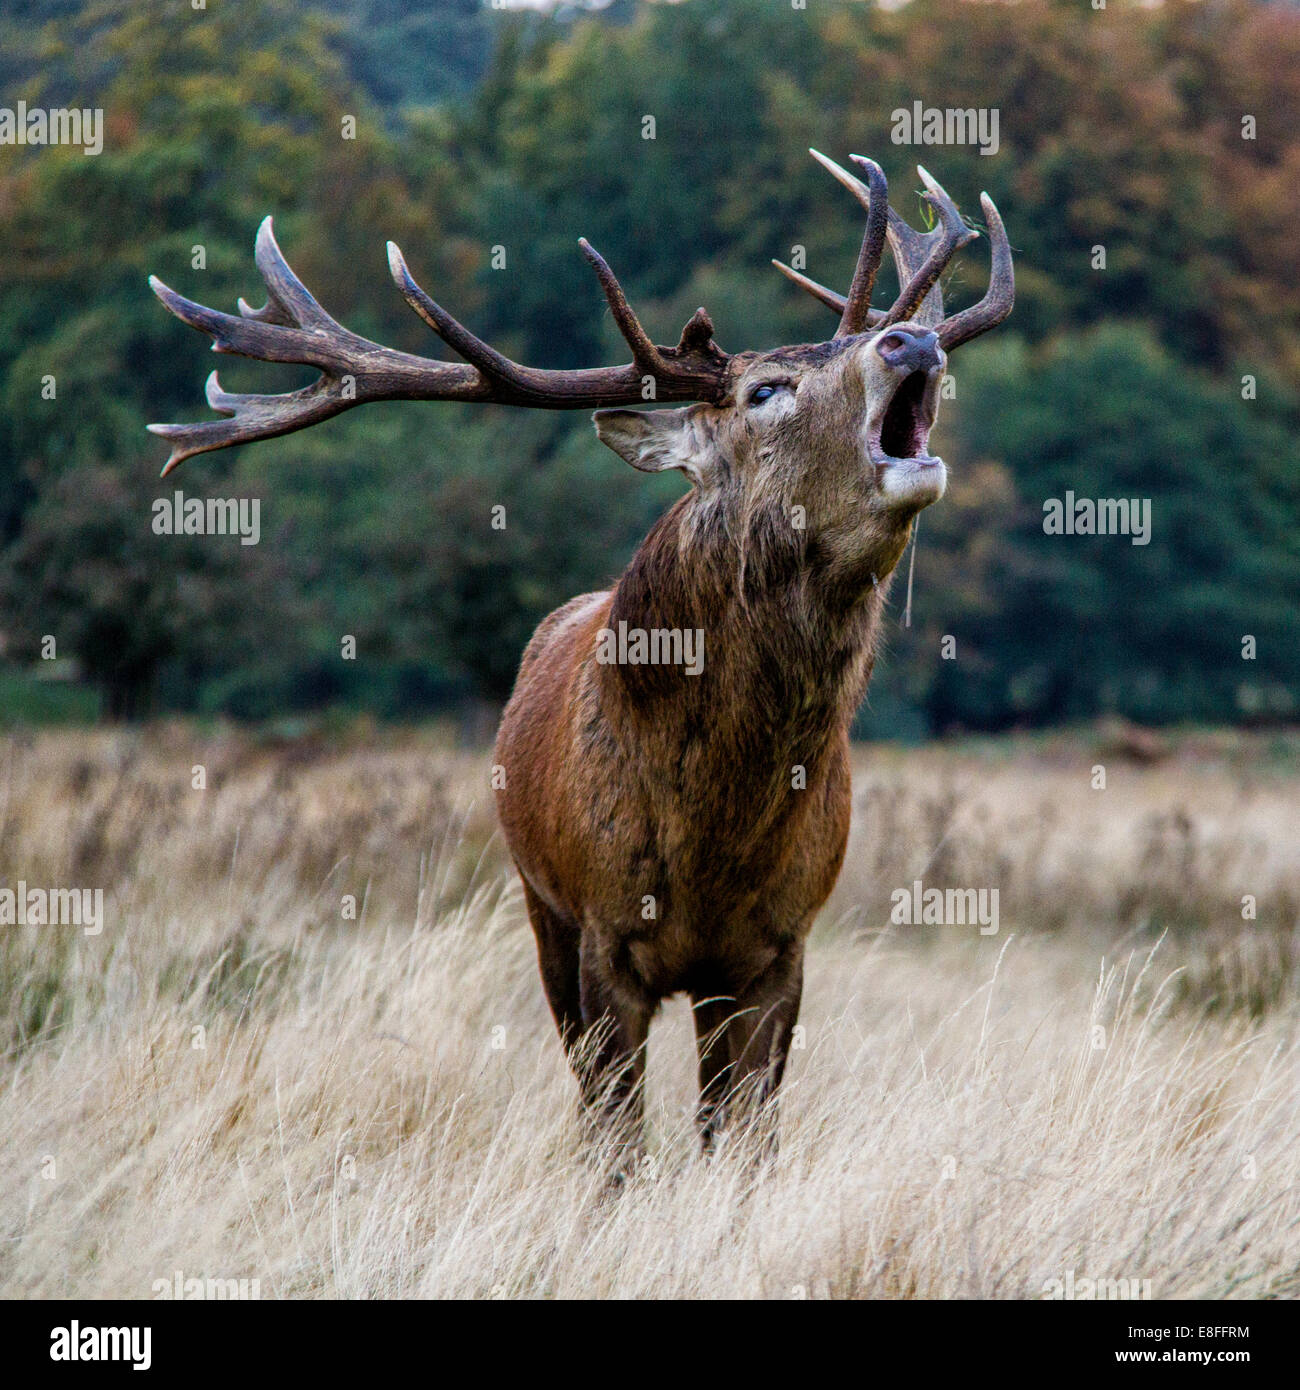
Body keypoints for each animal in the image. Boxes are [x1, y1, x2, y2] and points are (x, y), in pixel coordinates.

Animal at [148, 150, 1012, 1168]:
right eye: (764, 391)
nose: (909, 342)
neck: (719, 838)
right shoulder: (603, 930)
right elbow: (616, 1141)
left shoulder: (781, 945)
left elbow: (741, 1139)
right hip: (538, 907)